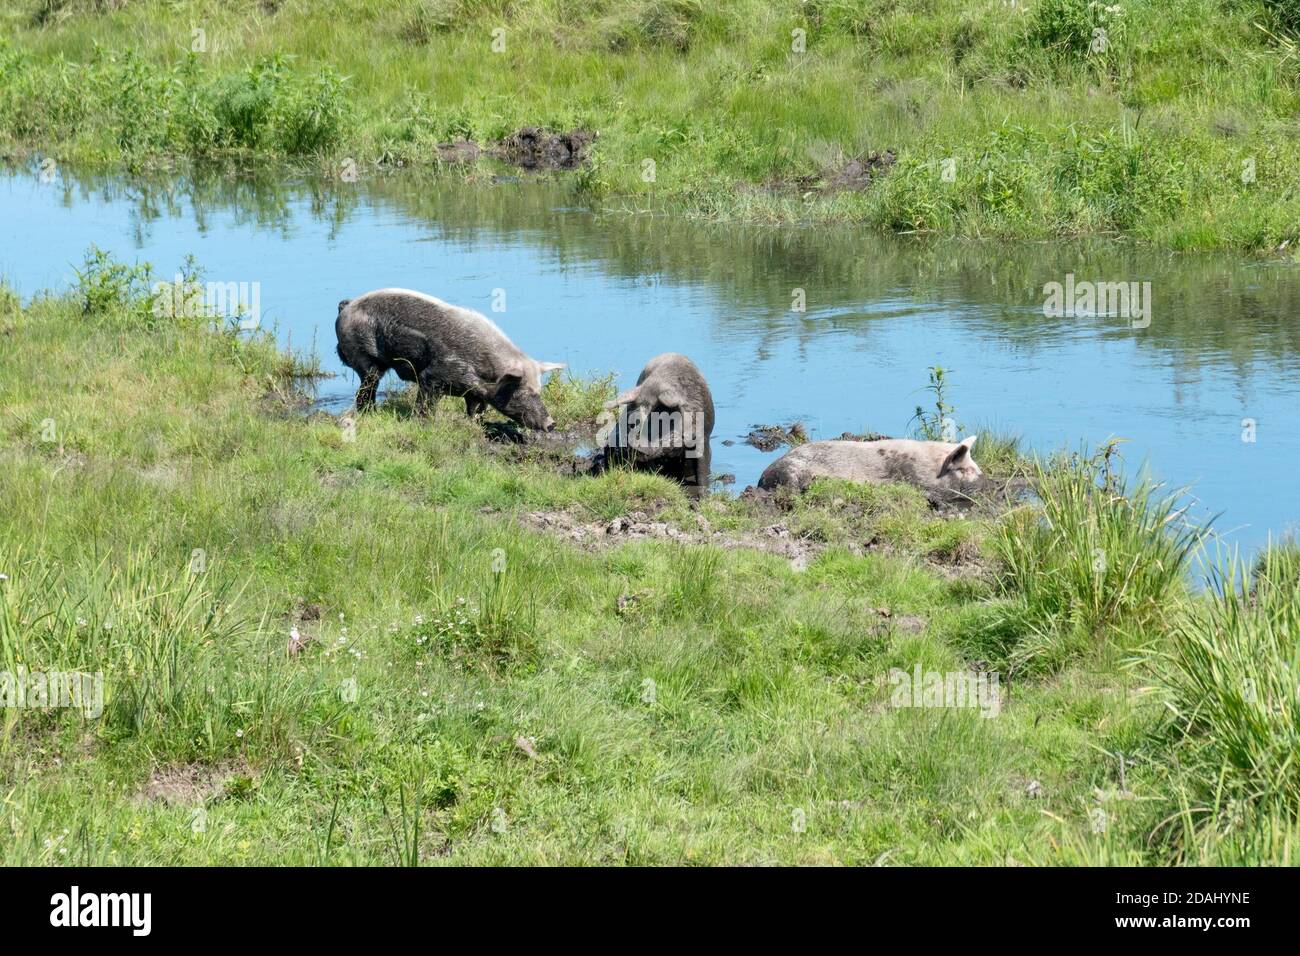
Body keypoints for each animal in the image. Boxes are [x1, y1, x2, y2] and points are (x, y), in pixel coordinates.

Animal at [335, 289, 565, 430]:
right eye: (523, 391)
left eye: (539, 391)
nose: (552, 423)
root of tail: (347, 307)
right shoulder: (432, 376)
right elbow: (425, 402)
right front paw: (423, 423)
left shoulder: (474, 392)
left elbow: (475, 409)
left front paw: (477, 424)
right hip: (364, 357)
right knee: (366, 387)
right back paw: (370, 413)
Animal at [595, 353, 715, 497]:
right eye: (633, 423)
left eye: (660, 422)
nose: (635, 446)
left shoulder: (704, 435)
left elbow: (703, 469)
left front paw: (703, 497)